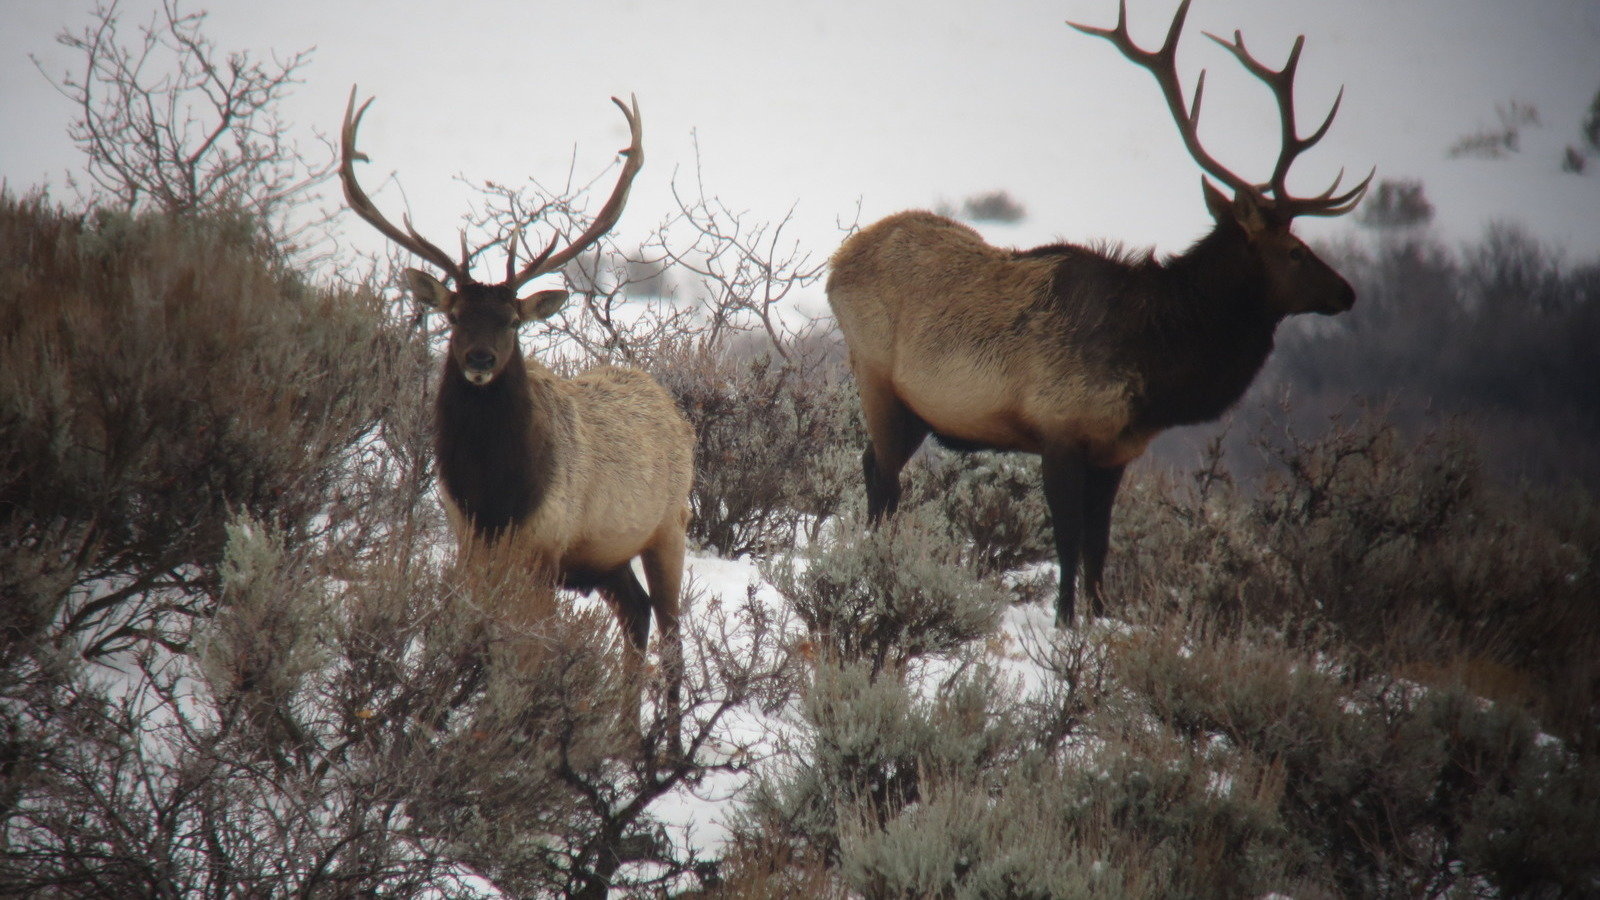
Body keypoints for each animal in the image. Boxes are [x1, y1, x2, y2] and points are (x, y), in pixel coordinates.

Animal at [339, 87, 694, 713]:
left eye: (511, 320)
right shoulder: (470, 542)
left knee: (672, 640)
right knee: (637, 613)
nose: (480, 359)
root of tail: (672, 408)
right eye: (454, 315)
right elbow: (476, 642)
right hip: (606, 559)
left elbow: (529, 657)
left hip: (670, 526)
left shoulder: (543, 550)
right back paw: (625, 730)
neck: (495, 493)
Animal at [826, 0, 1371, 627]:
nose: (1347, 292)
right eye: (1295, 251)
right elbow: (1066, 537)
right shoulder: (1059, 429)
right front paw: (1065, 622)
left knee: (875, 467)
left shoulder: (1117, 452)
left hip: (918, 408)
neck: (1154, 368)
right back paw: (875, 571)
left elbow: (1099, 543)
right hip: (875, 376)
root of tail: (836, 264)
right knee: (882, 478)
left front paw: (1101, 615)